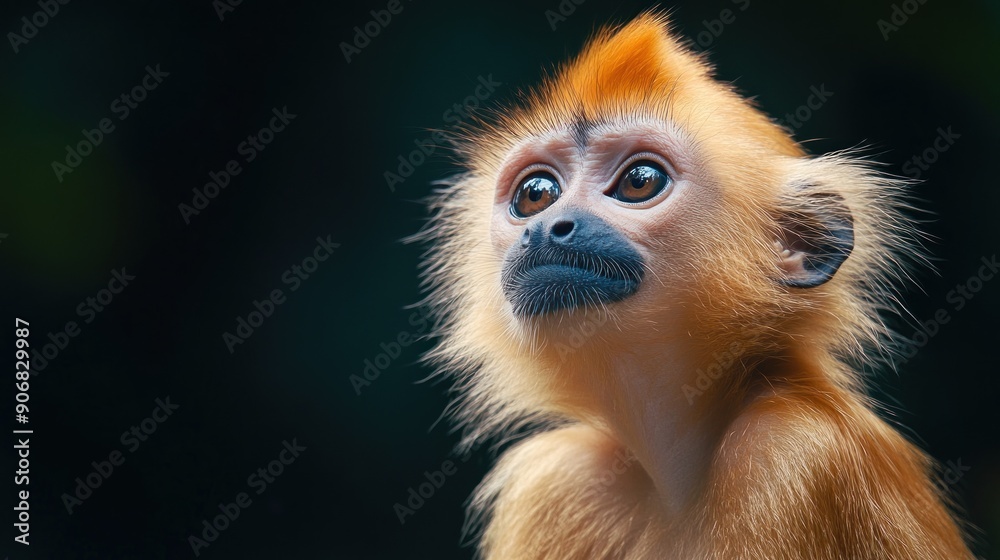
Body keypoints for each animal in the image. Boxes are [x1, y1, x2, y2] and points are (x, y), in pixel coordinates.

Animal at [412, 12, 974, 560]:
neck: (678, 473)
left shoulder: (792, 452)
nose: (547, 227)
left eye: (639, 181)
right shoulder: (561, 479)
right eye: (535, 194)